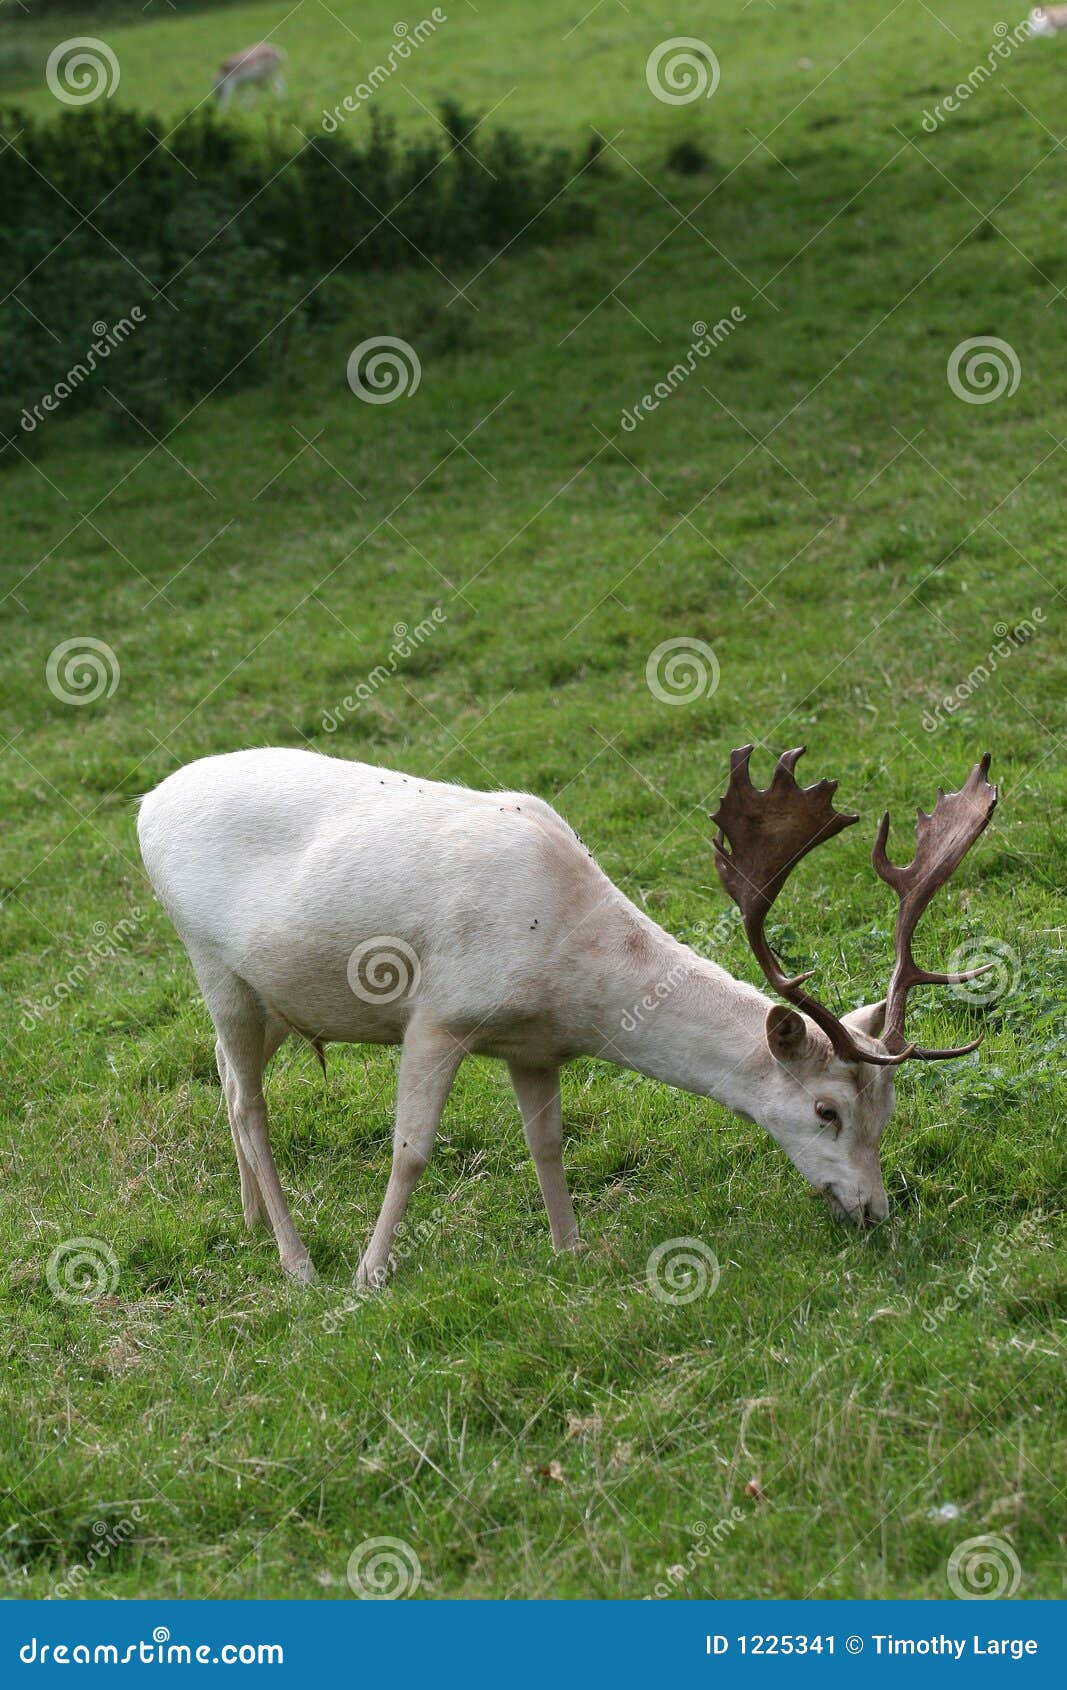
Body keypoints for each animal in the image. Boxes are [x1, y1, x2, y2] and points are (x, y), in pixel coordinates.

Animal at [136, 744, 997, 1286]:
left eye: (885, 1112)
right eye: (825, 1110)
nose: (874, 1210)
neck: (568, 969)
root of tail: (146, 803)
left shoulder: (534, 1048)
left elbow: (547, 1145)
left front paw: (571, 1249)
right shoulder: (439, 1014)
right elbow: (411, 1150)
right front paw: (370, 1273)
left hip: (273, 996)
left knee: (226, 1078)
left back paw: (252, 1221)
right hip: (209, 961)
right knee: (247, 1104)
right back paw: (297, 1262)